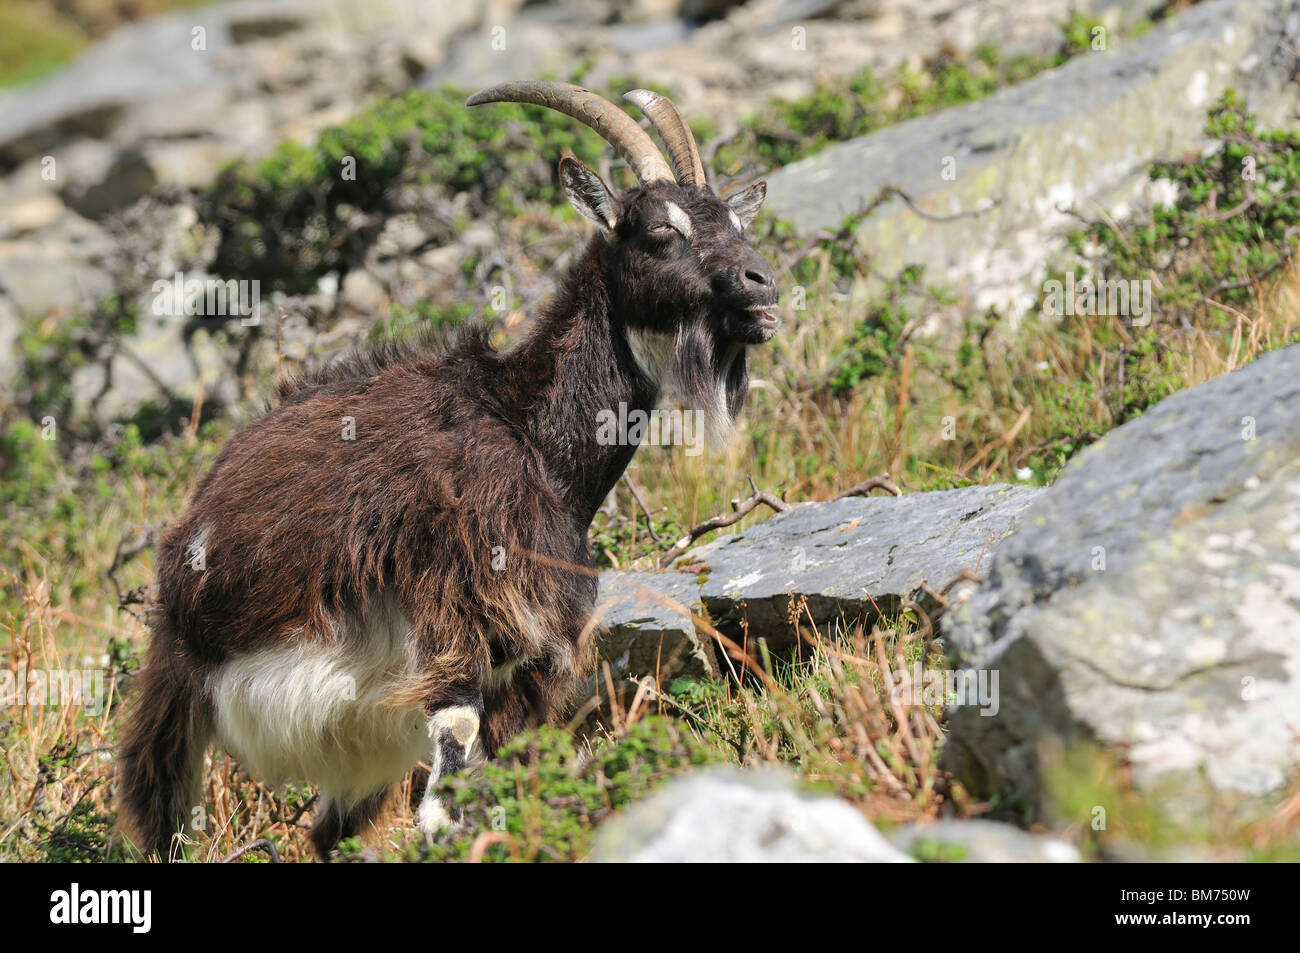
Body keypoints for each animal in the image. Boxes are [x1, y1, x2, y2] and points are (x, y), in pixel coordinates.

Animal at [116, 81, 780, 860]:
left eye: (734, 218)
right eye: (658, 230)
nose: (763, 283)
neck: (528, 431)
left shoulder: (526, 664)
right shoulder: (454, 610)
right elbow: (448, 796)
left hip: (360, 741)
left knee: (330, 833)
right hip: (179, 697)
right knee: (161, 811)